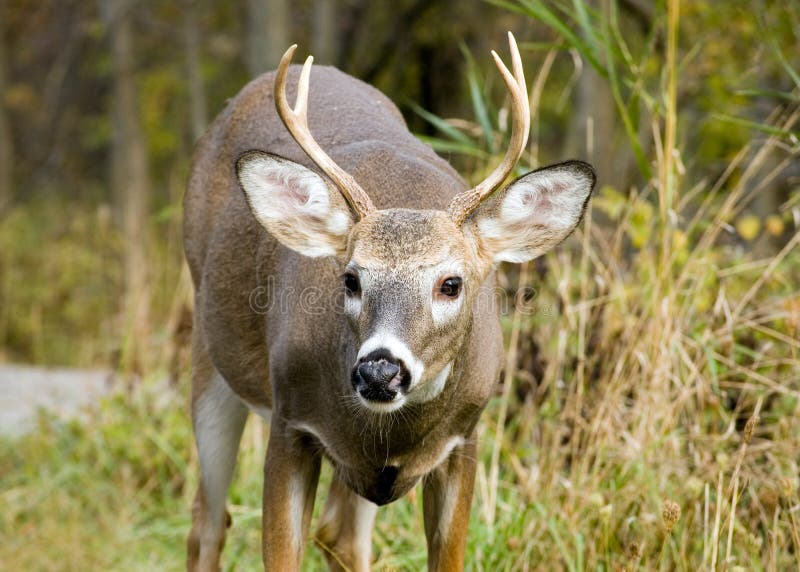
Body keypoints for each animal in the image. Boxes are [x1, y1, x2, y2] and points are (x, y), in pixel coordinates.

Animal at [184, 32, 595, 571]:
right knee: (208, 525)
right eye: (351, 279)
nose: (380, 370)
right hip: (208, 354)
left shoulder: (464, 439)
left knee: (339, 535)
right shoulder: (290, 423)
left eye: (451, 283)